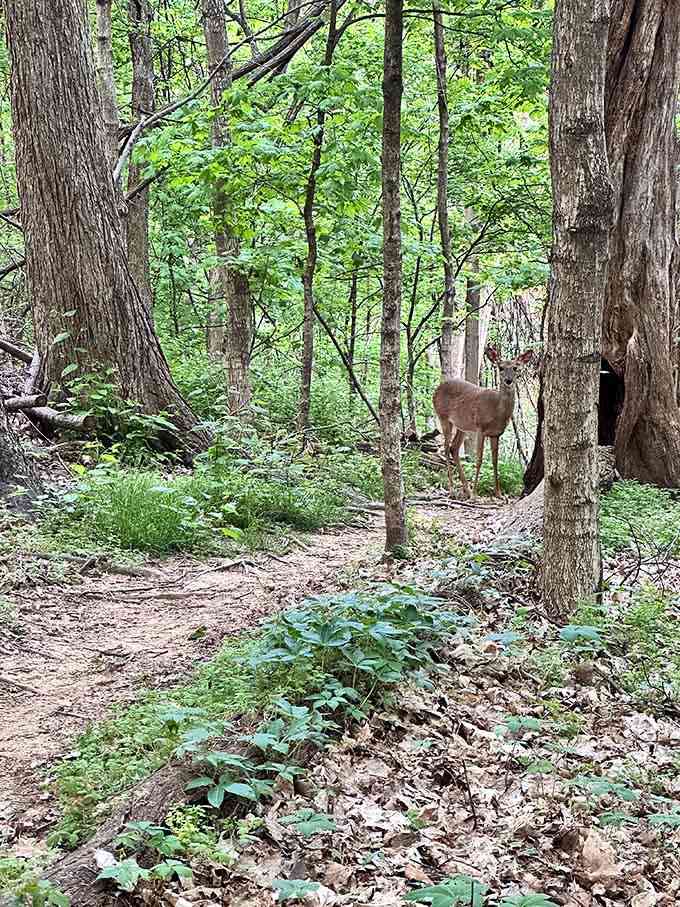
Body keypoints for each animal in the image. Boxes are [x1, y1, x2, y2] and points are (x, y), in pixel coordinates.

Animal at [433, 346, 533, 499]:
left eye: (515, 367)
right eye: (500, 367)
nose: (508, 380)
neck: (497, 411)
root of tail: (436, 390)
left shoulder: (496, 434)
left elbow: (495, 460)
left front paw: (499, 493)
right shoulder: (480, 428)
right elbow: (479, 459)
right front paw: (475, 494)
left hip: (463, 425)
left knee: (454, 448)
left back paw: (466, 489)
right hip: (443, 417)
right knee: (446, 447)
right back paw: (453, 489)